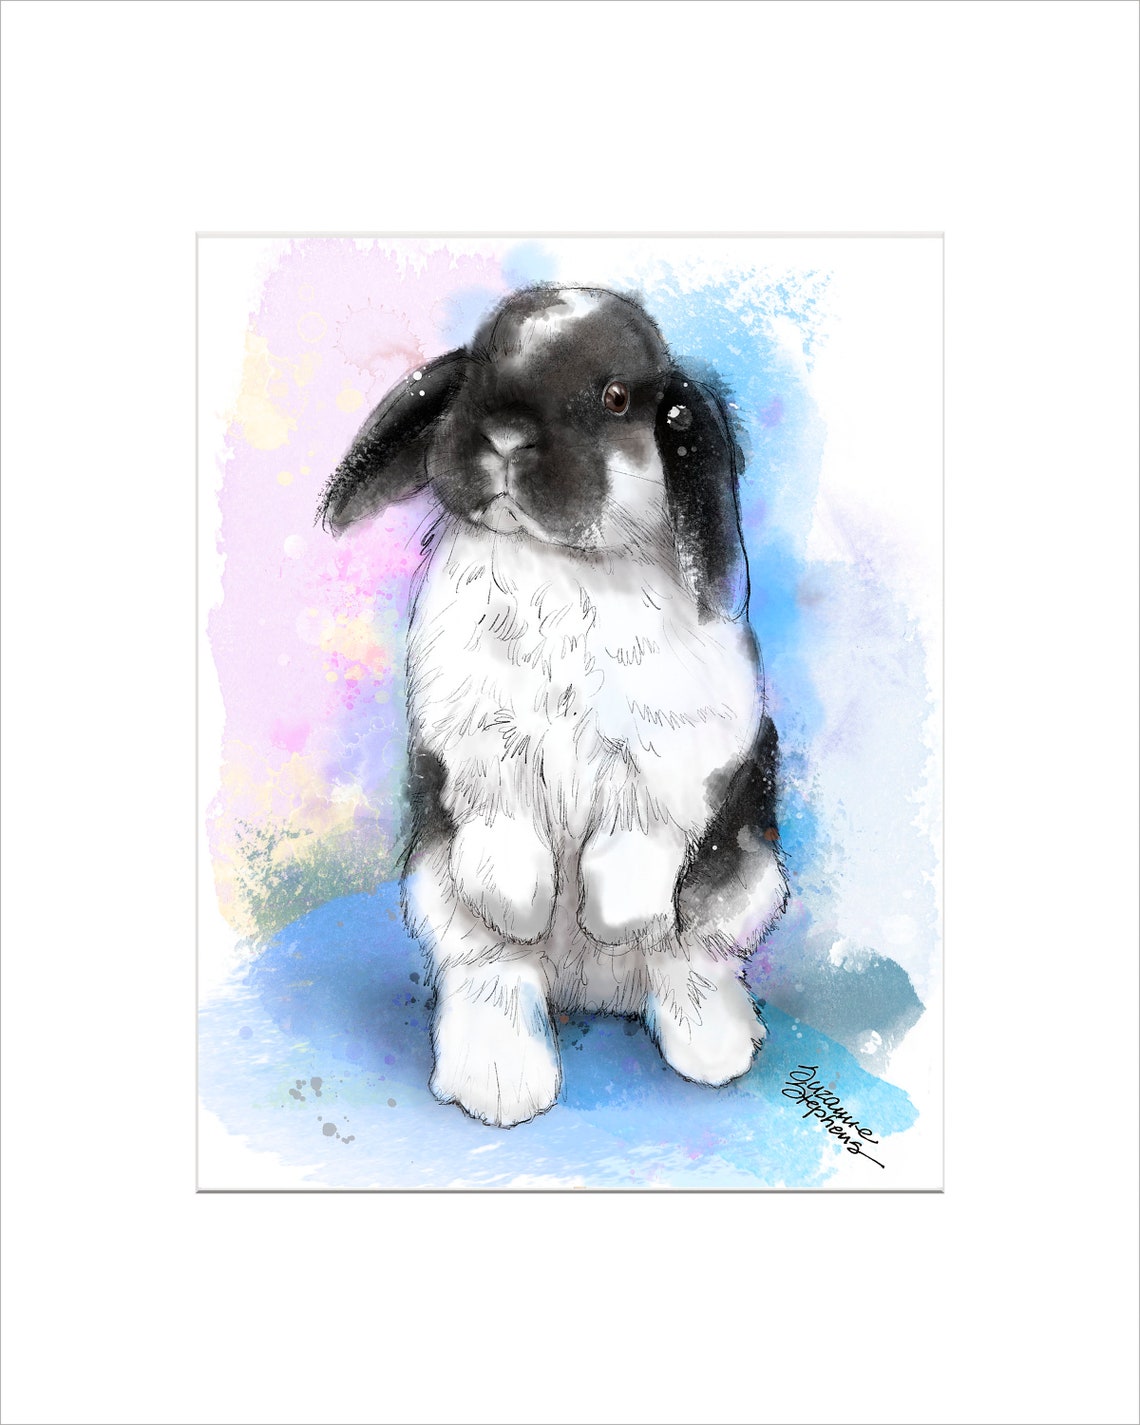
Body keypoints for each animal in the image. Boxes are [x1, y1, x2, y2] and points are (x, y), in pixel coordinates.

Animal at [317, 285, 789, 1127]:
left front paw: (614, 915)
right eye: (477, 370)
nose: (505, 437)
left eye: (616, 398)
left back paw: (715, 1047)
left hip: (750, 878)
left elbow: (638, 833)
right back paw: (501, 1081)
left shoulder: (682, 747)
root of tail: (591, 992)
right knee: (492, 973)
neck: (565, 566)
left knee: (686, 960)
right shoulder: (474, 743)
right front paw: (520, 902)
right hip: (431, 888)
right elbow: (500, 825)